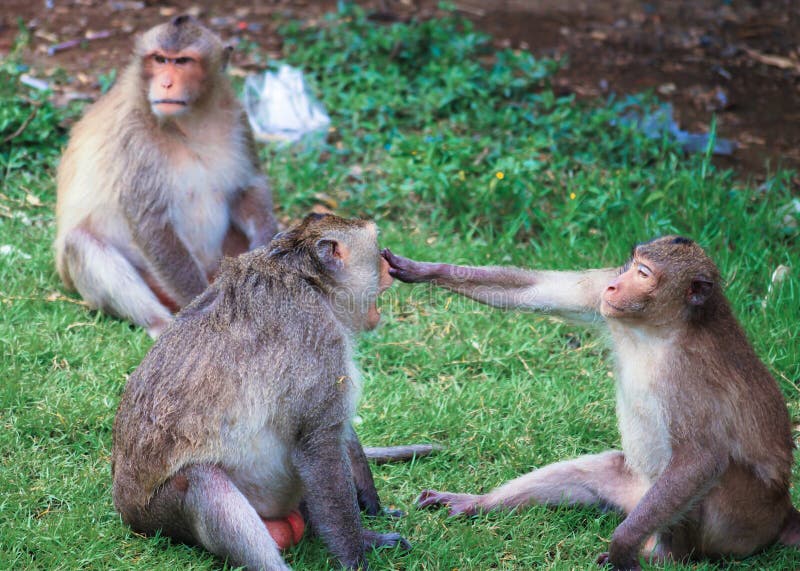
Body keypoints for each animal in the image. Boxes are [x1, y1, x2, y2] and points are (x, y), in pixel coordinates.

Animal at [55, 15, 277, 338]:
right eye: (160, 59)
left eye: (183, 61)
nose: (166, 82)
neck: (189, 123)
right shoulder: (134, 138)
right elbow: (153, 225)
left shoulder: (238, 119)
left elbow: (248, 189)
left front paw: (266, 247)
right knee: (80, 245)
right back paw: (161, 325)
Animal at [111, 214, 429, 570]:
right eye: (376, 251)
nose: (389, 267)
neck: (308, 280)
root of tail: (125, 510)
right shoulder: (318, 341)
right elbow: (318, 448)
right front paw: (355, 558)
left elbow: (336, 432)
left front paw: (370, 504)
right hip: (161, 514)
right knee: (203, 482)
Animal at [382, 237, 800, 570]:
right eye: (632, 266)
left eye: (644, 274)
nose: (616, 285)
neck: (660, 329)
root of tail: (783, 512)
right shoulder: (607, 302)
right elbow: (538, 289)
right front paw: (423, 269)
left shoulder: (691, 376)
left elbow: (701, 459)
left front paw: (621, 548)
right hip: (636, 491)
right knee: (589, 474)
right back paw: (477, 504)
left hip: (741, 520)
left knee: (709, 476)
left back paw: (665, 556)